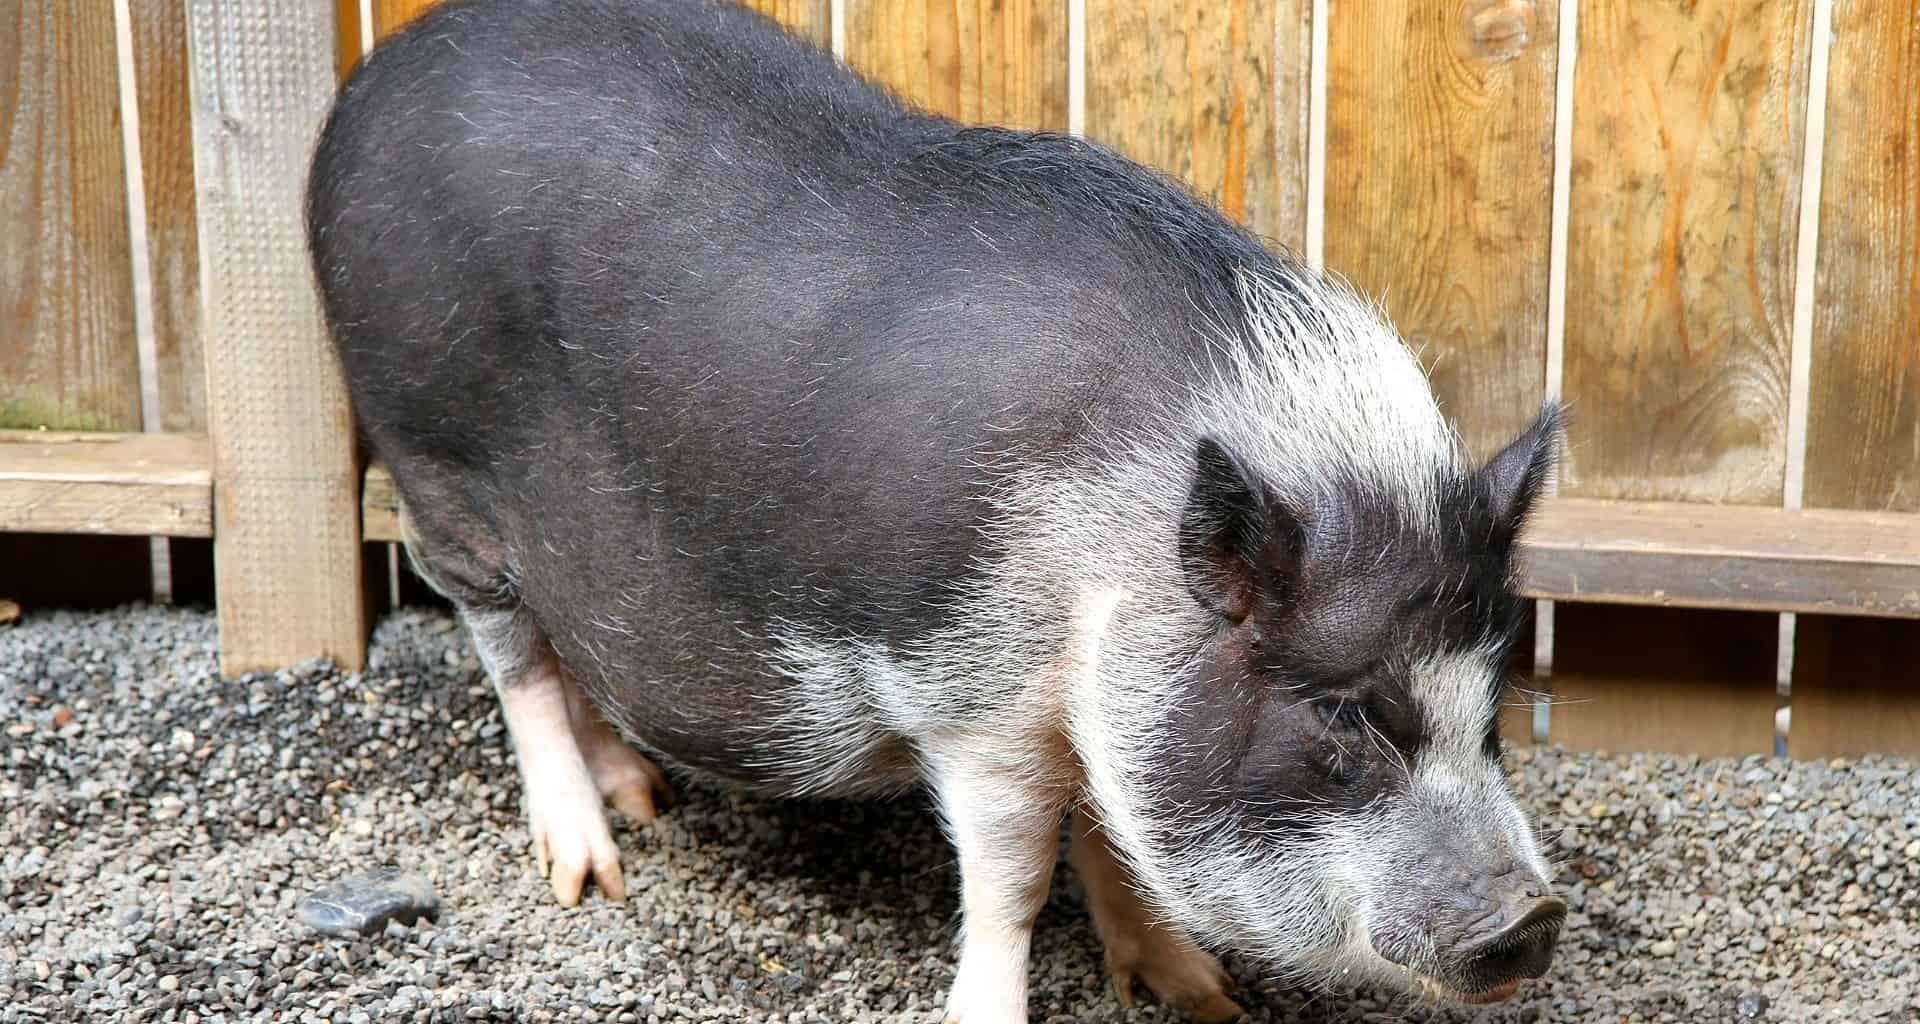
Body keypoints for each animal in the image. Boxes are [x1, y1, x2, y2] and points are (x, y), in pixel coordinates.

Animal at [305, 0, 1566, 1020]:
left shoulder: (1083, 701)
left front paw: (1198, 995)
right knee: (511, 646)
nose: (1535, 917)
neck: (1118, 551)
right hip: (432, 460)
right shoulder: (972, 694)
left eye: (1492, 709)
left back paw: (646, 797)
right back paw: (593, 869)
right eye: (1345, 716)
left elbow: (1111, 840)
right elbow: (1014, 874)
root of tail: (362, 97)